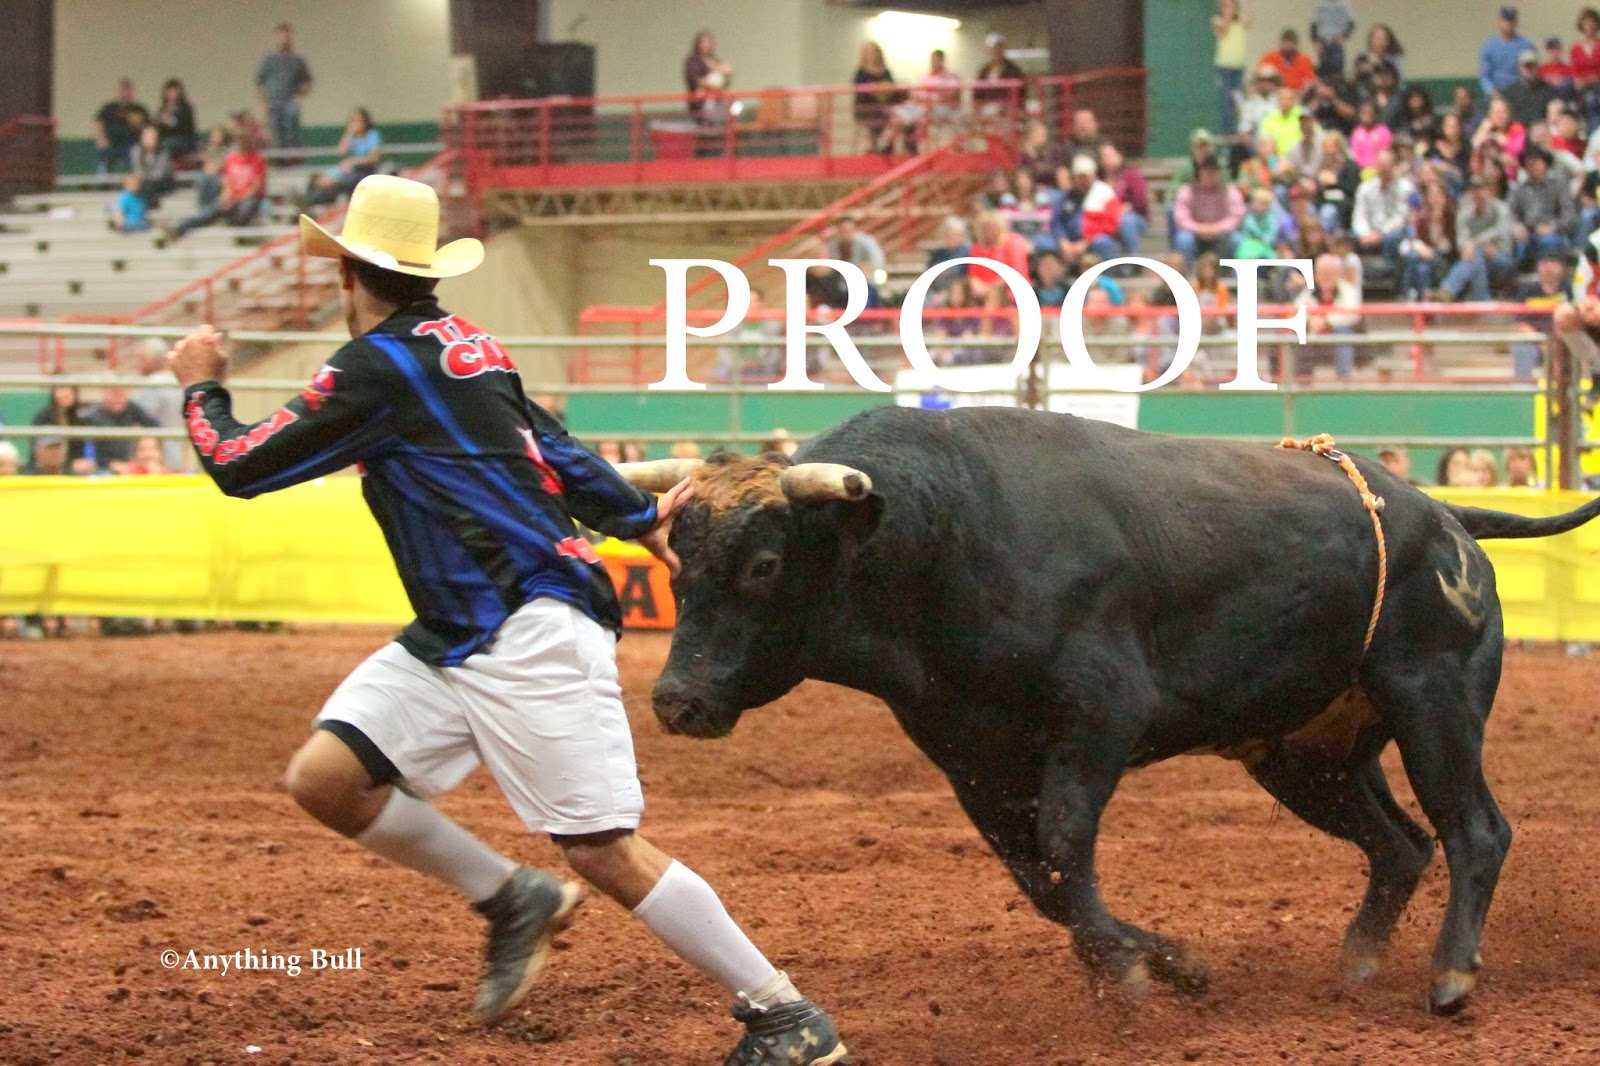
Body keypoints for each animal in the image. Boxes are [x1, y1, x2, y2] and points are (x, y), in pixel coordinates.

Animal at [615, 406, 1600, 1015]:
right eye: (675, 562)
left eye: (764, 565)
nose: (677, 701)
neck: (952, 535)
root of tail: (1442, 516)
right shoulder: (974, 759)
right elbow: (1042, 881)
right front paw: (1168, 964)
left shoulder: (1098, 720)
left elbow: (1061, 846)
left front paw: (1131, 975)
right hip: (1305, 753)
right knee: (1401, 845)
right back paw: (1356, 962)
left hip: (1435, 701)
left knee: (1476, 830)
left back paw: (1451, 973)